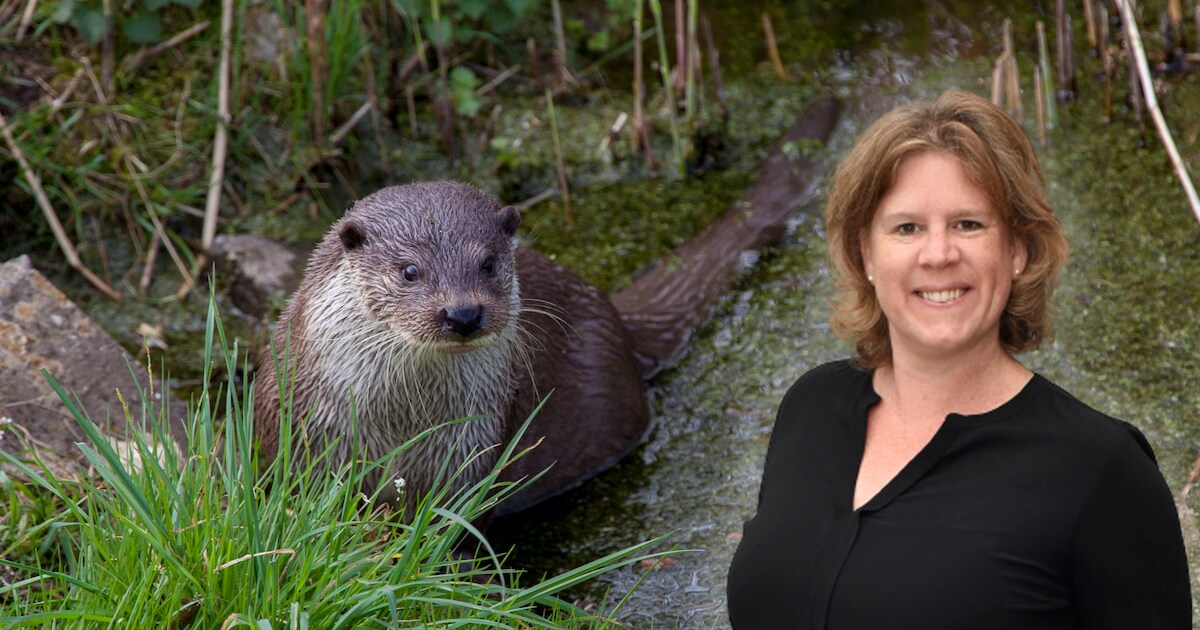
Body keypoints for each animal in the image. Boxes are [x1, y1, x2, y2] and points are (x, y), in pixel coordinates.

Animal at [253, 98, 840, 515]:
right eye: (409, 271)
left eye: (489, 263)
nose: (462, 314)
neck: (401, 425)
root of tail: (614, 319)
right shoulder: (298, 429)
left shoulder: (471, 448)